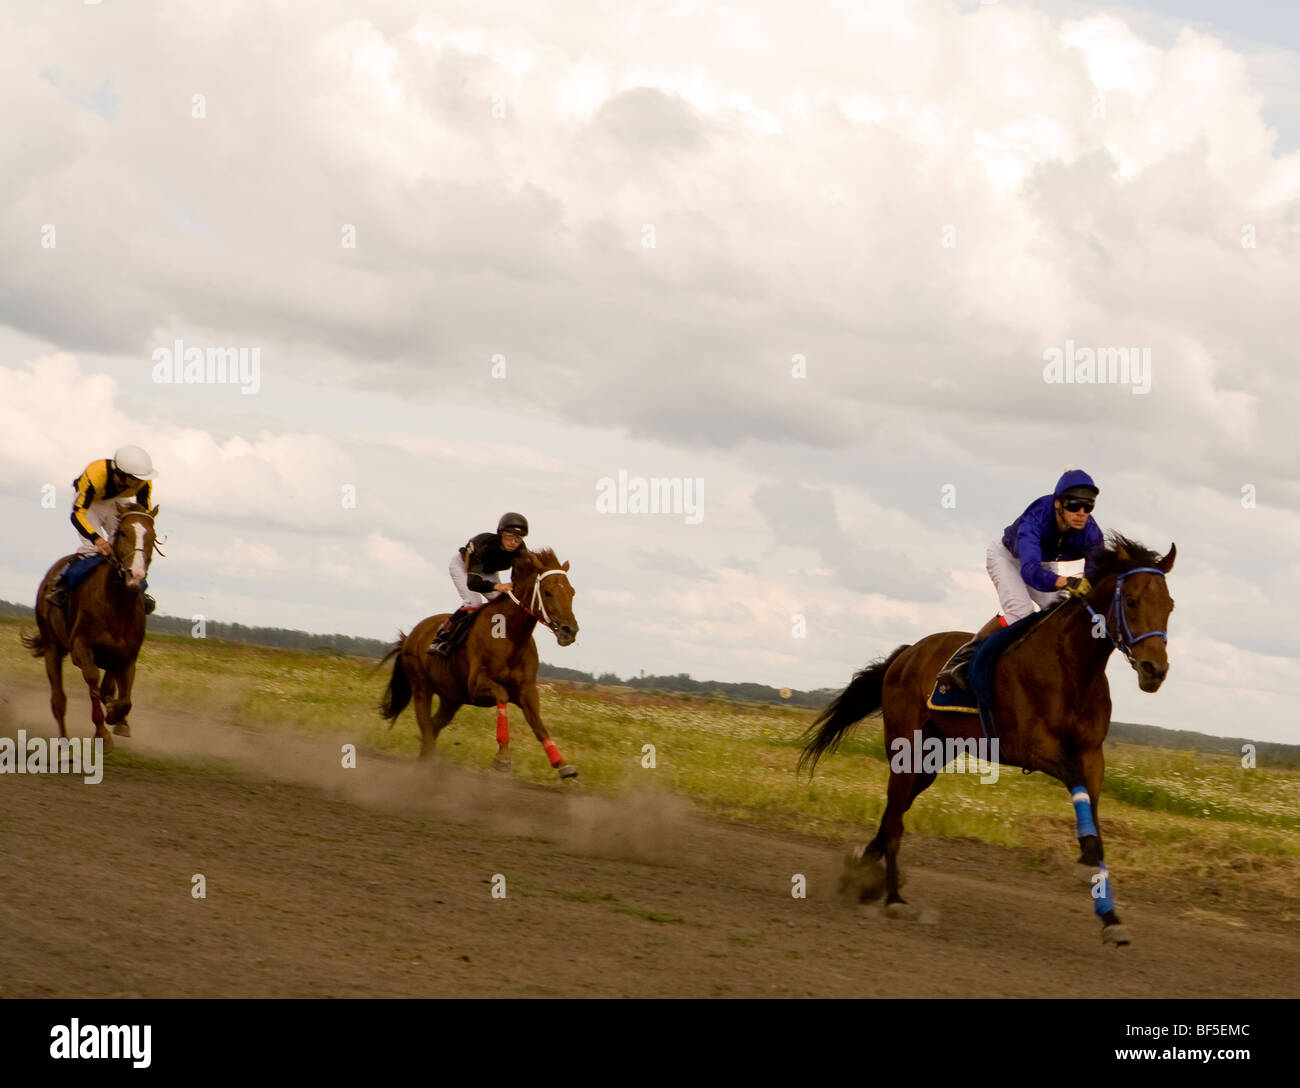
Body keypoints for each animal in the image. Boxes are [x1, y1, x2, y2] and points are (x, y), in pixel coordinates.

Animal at [22, 503, 162, 753]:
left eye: (153, 536)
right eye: (123, 533)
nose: (135, 575)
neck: (115, 604)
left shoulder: (128, 656)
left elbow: (124, 700)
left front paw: (117, 717)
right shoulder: (81, 648)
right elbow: (93, 680)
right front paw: (102, 733)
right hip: (52, 647)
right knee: (59, 701)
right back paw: (64, 746)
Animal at [379, 547, 581, 779]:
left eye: (572, 592)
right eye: (547, 592)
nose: (569, 631)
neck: (509, 635)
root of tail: (411, 636)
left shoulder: (527, 690)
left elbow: (539, 726)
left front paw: (562, 763)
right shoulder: (476, 685)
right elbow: (502, 695)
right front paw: (503, 757)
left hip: (451, 698)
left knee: (433, 725)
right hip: (421, 686)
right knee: (425, 723)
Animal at [799, 535, 1175, 946]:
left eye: (1169, 606)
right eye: (1132, 601)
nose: (1155, 670)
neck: (1071, 667)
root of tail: (908, 653)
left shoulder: (1092, 755)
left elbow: (1092, 811)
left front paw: (1110, 917)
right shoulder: (1031, 747)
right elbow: (1077, 793)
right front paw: (1087, 856)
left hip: (932, 759)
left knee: (892, 813)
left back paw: (864, 871)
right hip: (905, 750)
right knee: (895, 820)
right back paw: (894, 897)